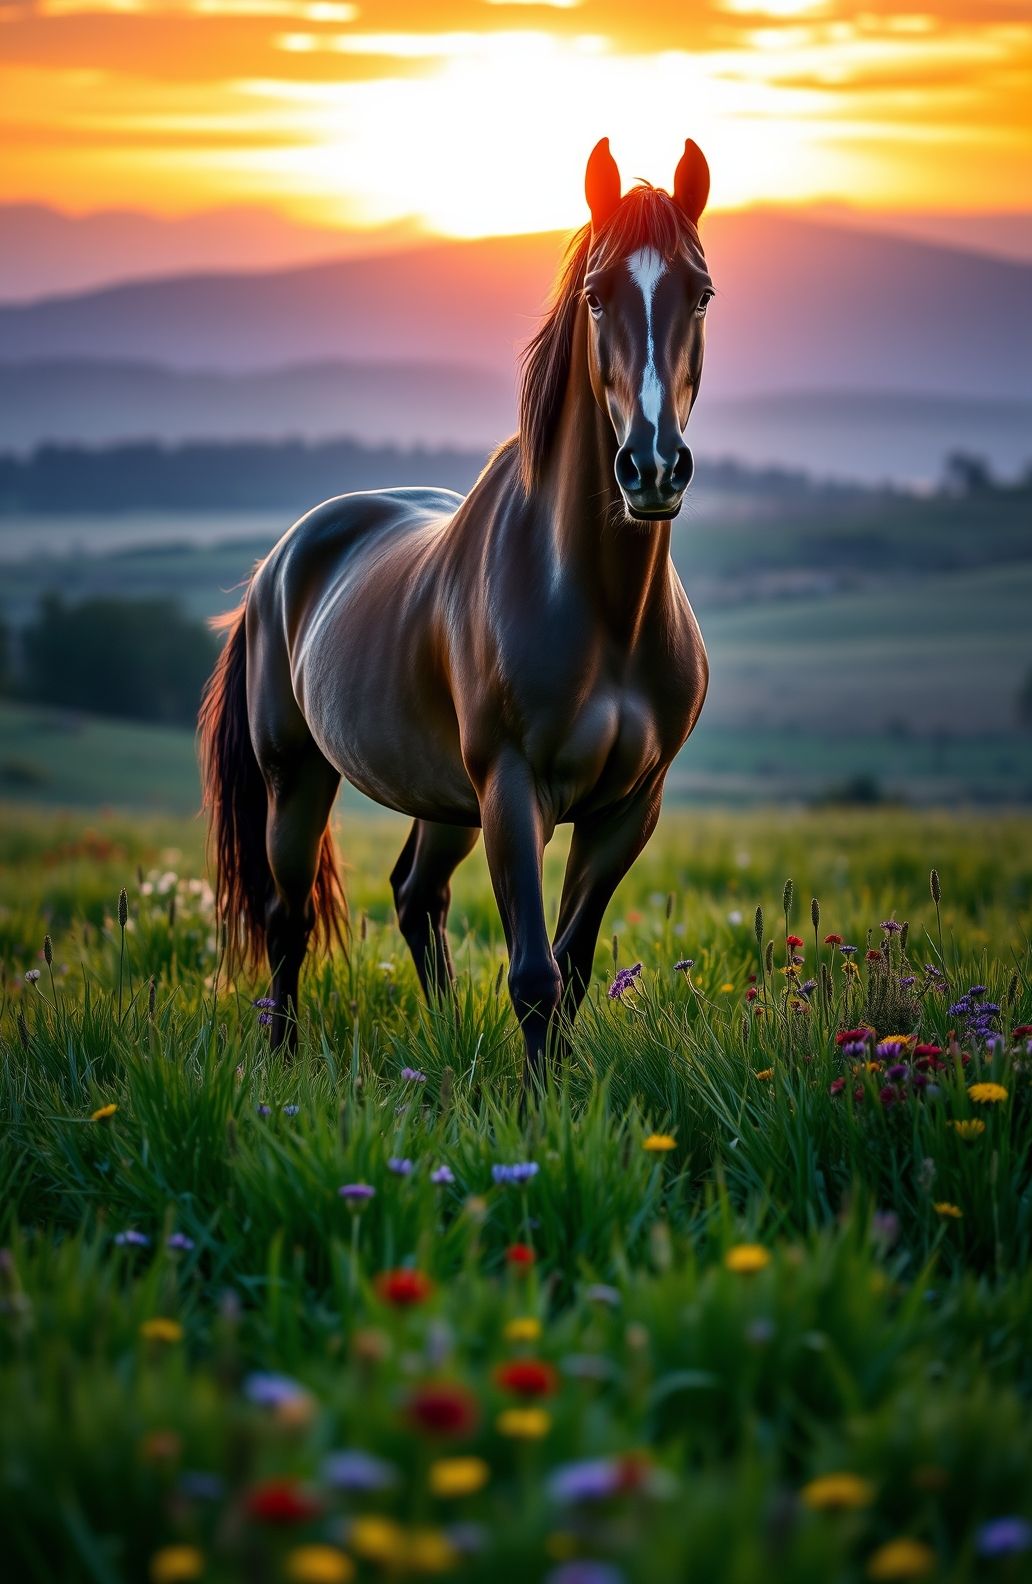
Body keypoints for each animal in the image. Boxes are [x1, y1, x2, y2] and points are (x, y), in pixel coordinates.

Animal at [199, 137, 714, 1079]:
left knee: (417, 893)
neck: (603, 610)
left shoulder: (628, 808)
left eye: (700, 292)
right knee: (289, 919)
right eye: (596, 294)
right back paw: (282, 1056)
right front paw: (541, 1105)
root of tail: (277, 565)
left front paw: (563, 1087)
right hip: (300, 776)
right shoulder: (513, 789)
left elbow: (572, 967)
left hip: (441, 797)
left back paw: (439, 1036)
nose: (653, 468)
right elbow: (535, 974)